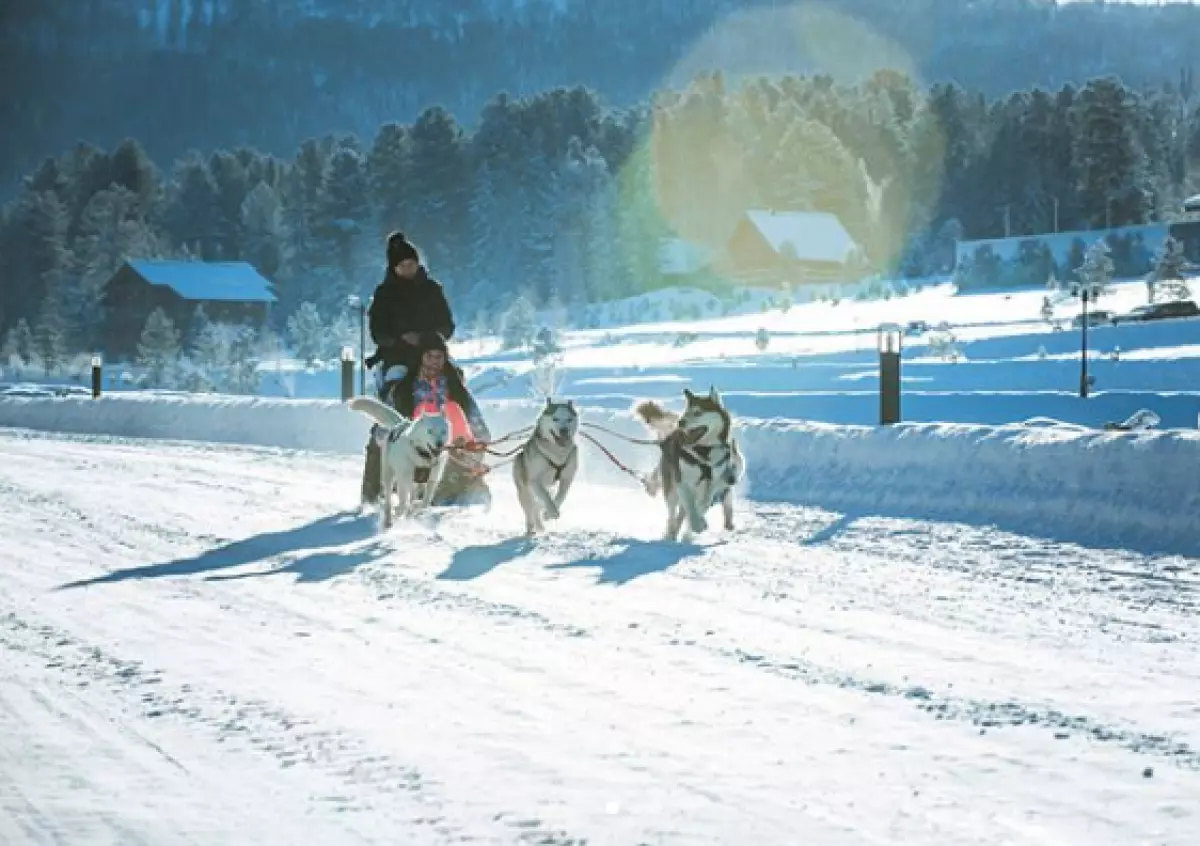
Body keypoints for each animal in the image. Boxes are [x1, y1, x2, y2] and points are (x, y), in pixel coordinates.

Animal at [348, 396, 451, 528]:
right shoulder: (403, 480)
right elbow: (403, 504)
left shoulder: (432, 481)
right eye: (430, 431)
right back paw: (388, 520)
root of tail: (400, 424)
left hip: (416, 483)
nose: (439, 444)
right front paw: (399, 511)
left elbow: (424, 503)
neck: (422, 455)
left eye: (443, 431)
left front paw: (415, 509)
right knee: (388, 500)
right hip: (388, 475)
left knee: (413, 497)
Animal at [511, 398, 580, 535]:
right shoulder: (534, 481)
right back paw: (531, 528)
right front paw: (552, 512)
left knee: (538, 506)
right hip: (525, 492)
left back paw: (540, 525)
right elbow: (546, 497)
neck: (557, 453)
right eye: (555, 418)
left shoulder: (567, 478)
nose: (564, 430)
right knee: (530, 510)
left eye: (569, 419)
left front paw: (548, 514)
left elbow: (561, 496)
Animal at [633, 388, 744, 542]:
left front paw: (693, 528)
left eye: (698, 412)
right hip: (671, 487)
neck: (704, 453)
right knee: (672, 512)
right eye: (687, 411)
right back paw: (671, 532)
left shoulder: (713, 485)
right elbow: (690, 505)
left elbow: (702, 504)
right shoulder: (683, 481)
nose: (680, 422)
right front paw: (697, 524)